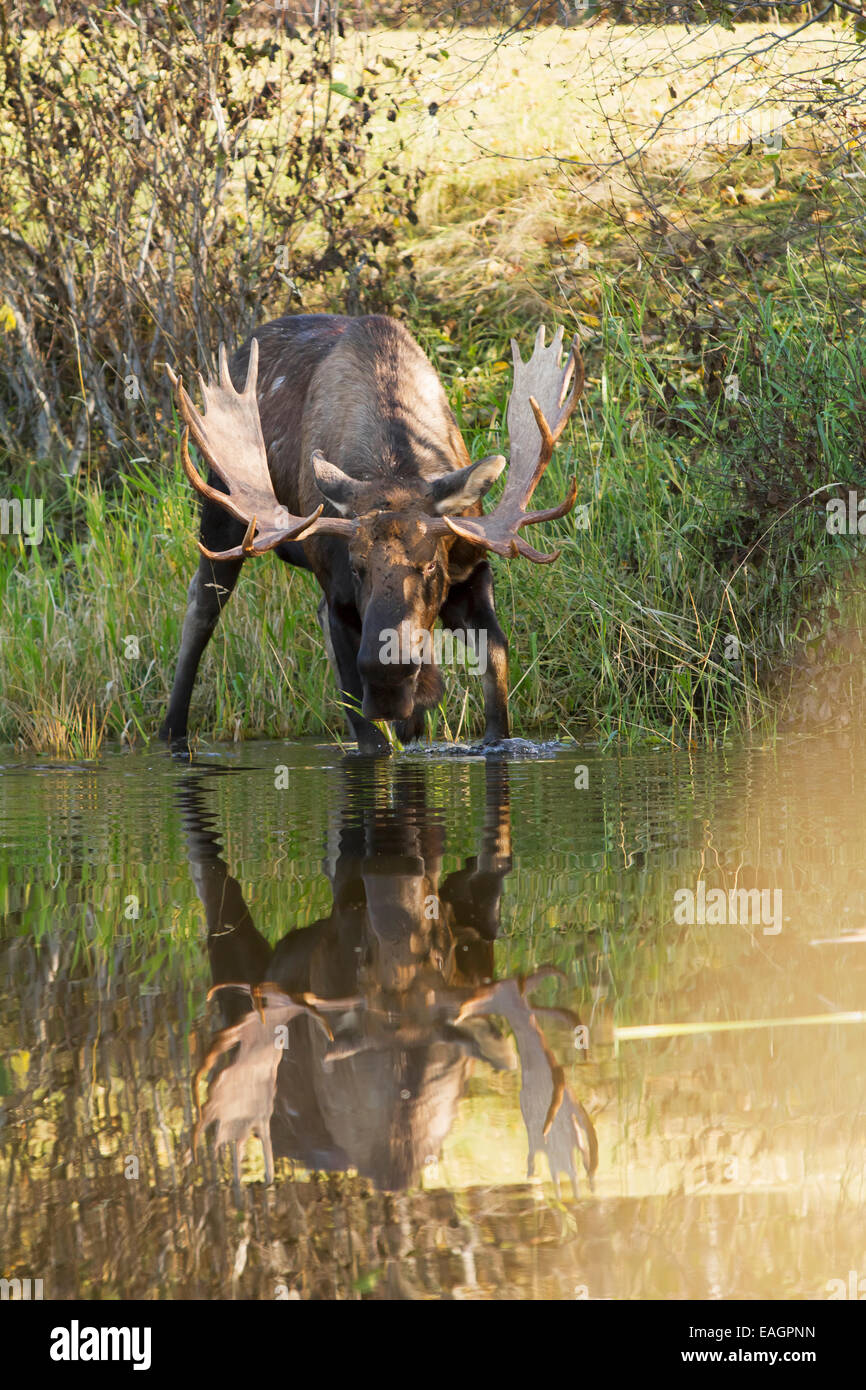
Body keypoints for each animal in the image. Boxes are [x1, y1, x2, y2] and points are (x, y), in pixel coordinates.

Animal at [160, 314, 583, 755]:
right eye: (357, 566)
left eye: (431, 566)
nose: (388, 677)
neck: (392, 470)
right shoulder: (340, 597)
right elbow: (370, 736)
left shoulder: (472, 568)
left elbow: (496, 674)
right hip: (223, 509)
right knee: (202, 606)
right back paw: (172, 733)